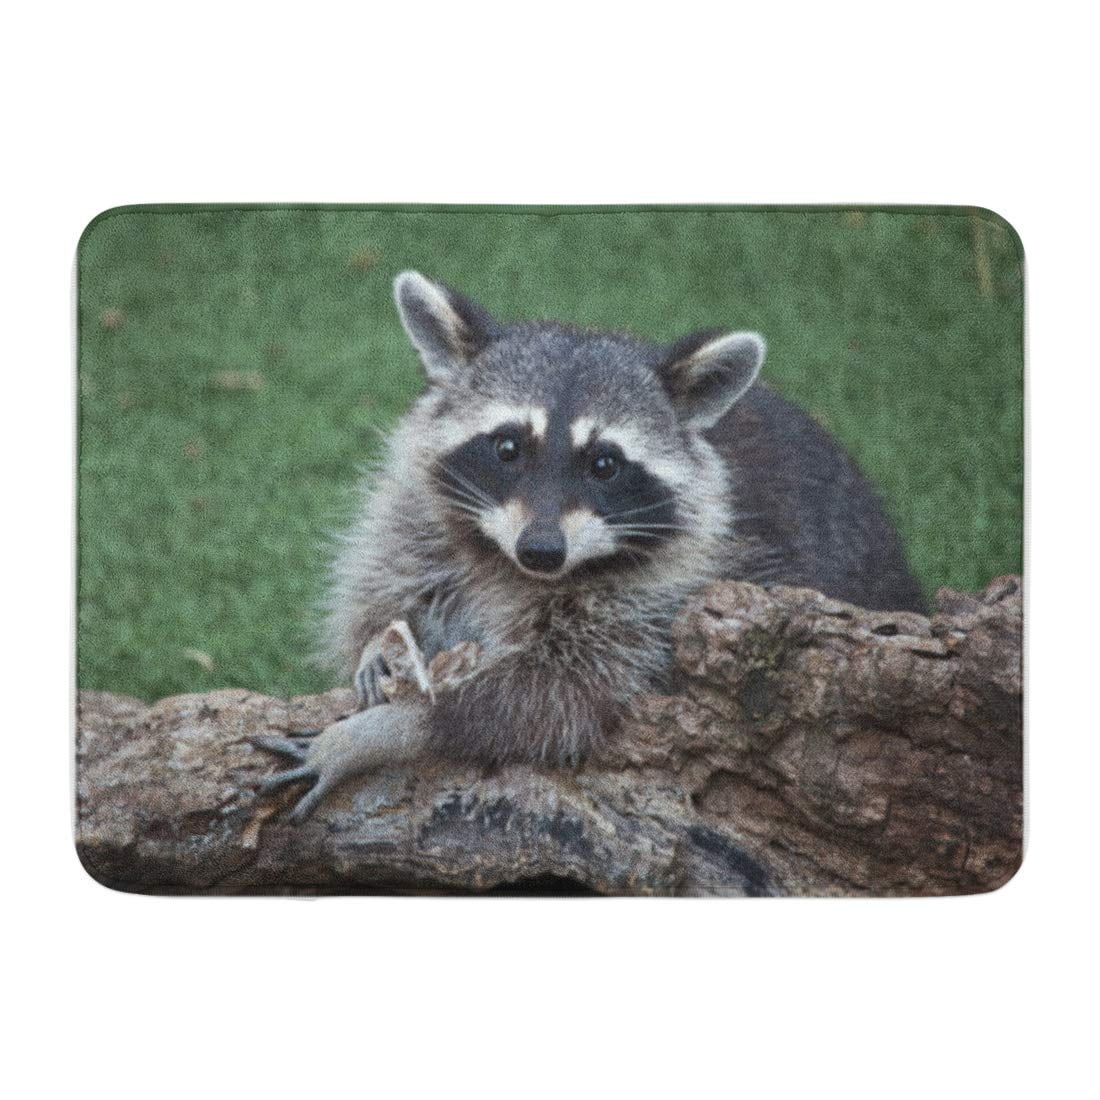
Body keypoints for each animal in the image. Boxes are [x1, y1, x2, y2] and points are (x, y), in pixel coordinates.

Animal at [256, 271, 923, 819]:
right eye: (507, 447)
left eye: (605, 464)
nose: (541, 550)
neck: (512, 568)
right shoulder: (418, 508)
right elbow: (382, 577)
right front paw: (382, 637)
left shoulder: (664, 598)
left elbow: (546, 701)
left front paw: (389, 729)